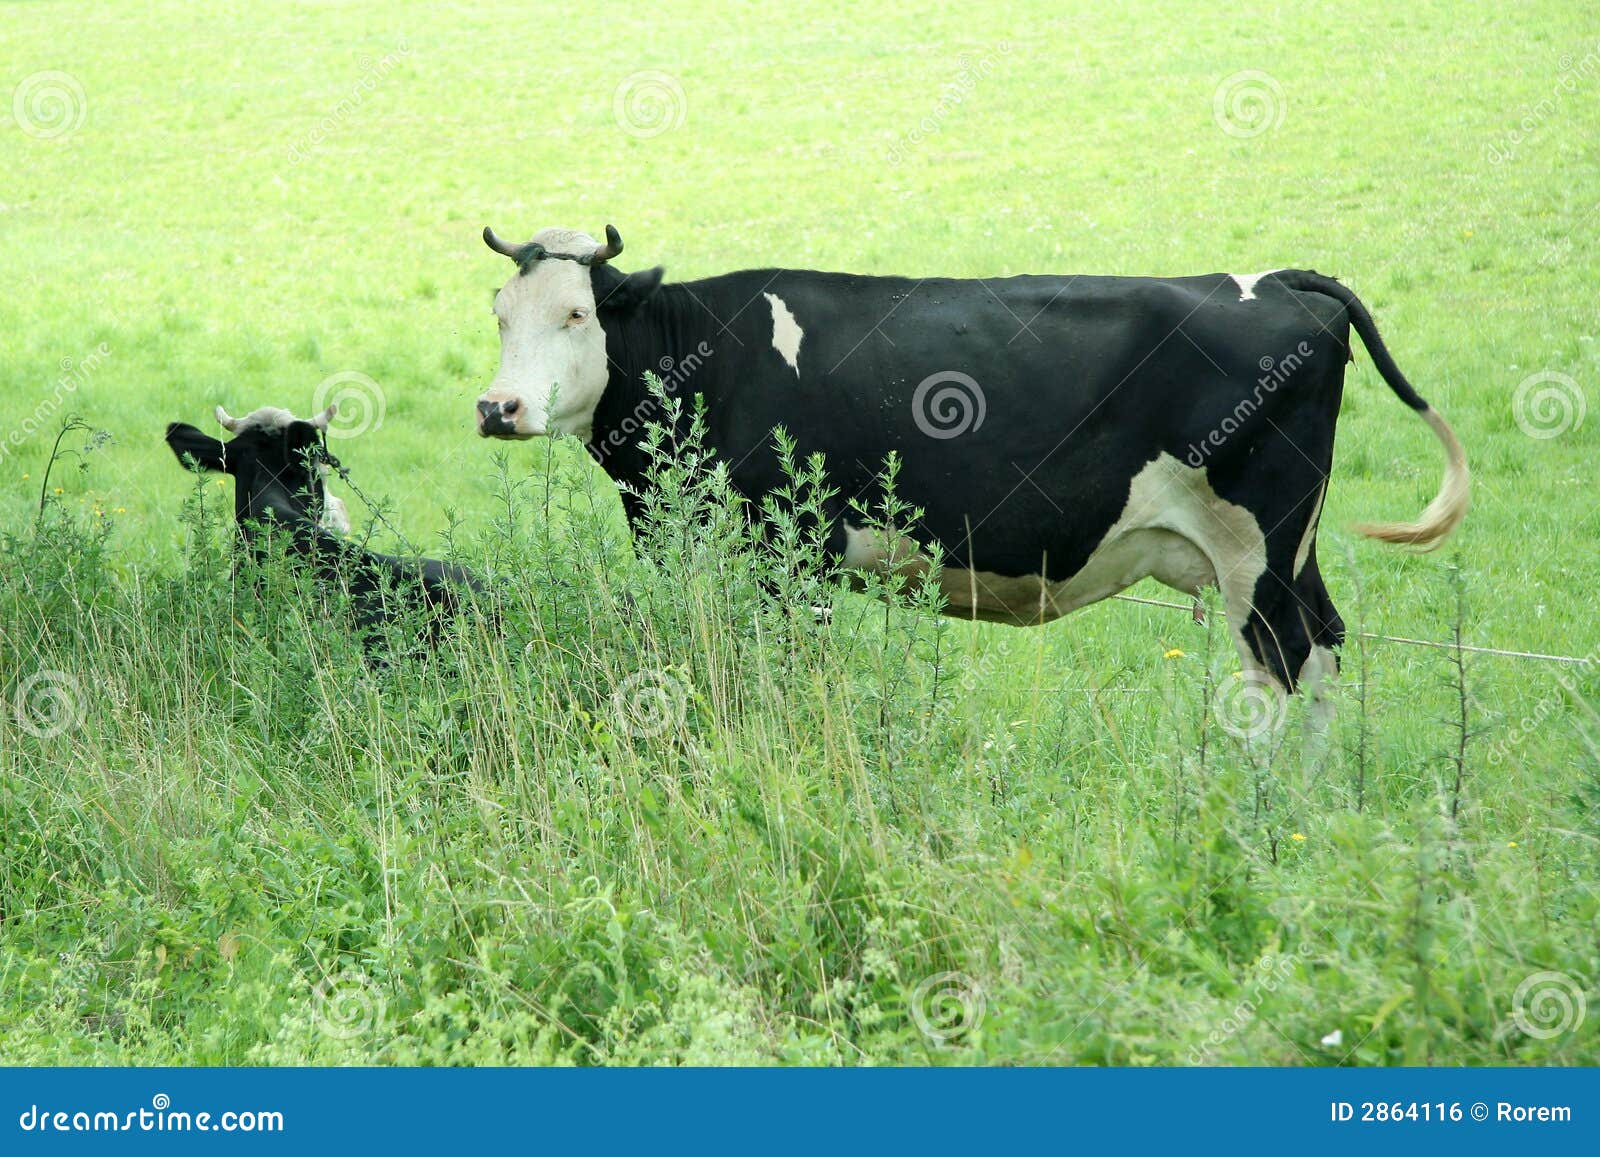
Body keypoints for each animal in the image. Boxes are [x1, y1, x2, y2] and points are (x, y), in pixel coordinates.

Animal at [473, 225, 1468, 696]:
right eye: (500, 313)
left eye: (577, 313)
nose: (498, 407)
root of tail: (1284, 278)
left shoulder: (788, 557)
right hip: (1289, 552)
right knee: (1326, 646)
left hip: (1255, 548)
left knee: (1285, 660)